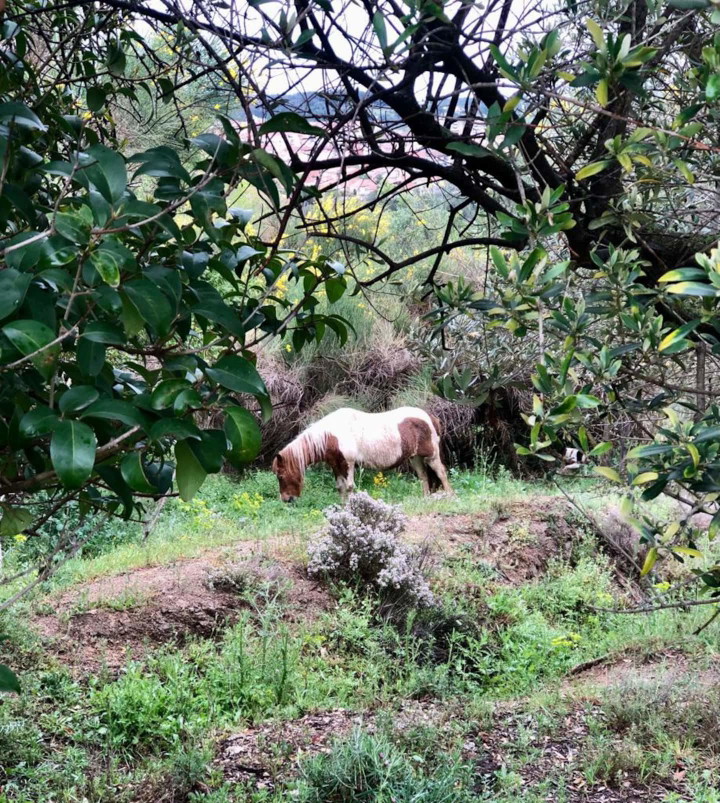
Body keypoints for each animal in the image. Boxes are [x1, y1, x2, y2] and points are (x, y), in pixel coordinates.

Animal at [271, 406, 452, 502]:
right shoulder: (337, 465)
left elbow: (349, 487)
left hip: (431, 455)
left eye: (280, 476)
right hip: (416, 458)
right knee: (423, 477)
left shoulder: (348, 464)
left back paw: (450, 496)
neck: (332, 435)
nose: (286, 499)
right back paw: (425, 499)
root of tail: (430, 417)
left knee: (441, 473)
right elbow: (340, 487)